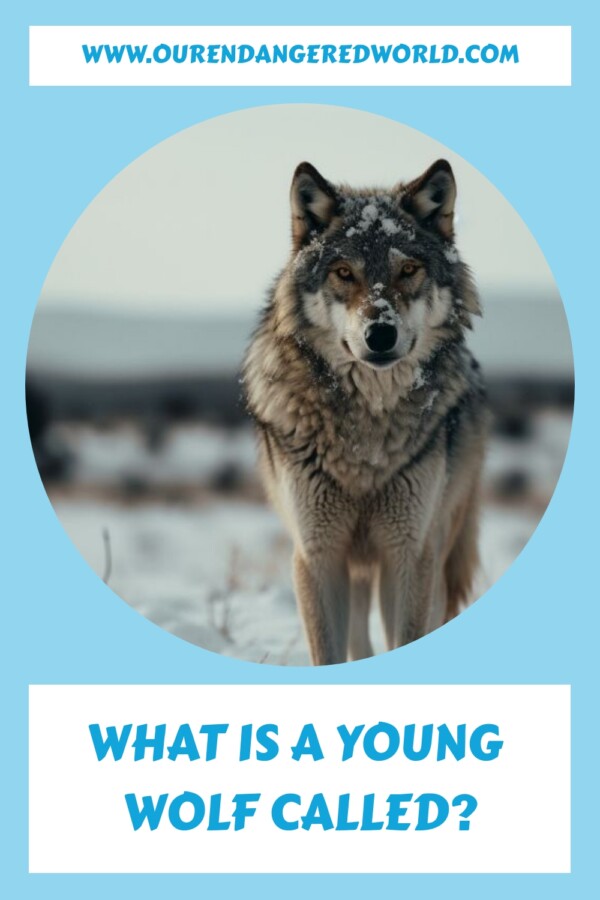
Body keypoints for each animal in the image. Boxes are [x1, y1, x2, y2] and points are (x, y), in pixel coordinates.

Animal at [243, 159, 488, 665]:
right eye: (343, 272)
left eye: (408, 269)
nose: (380, 334)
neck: (366, 434)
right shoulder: (318, 557)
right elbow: (329, 651)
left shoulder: (409, 554)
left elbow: (408, 635)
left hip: (439, 546)